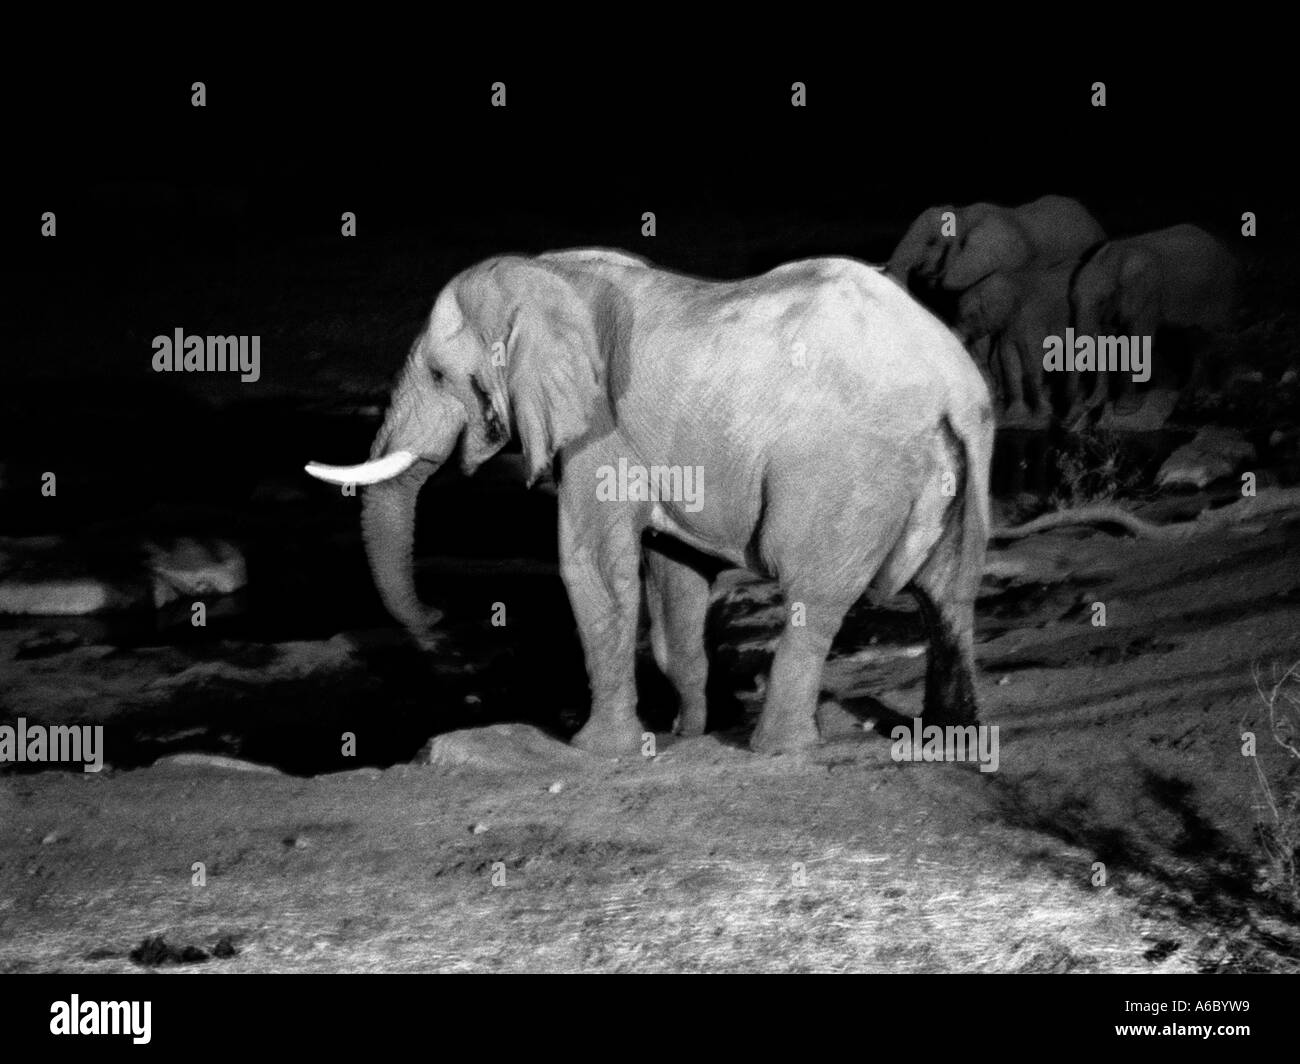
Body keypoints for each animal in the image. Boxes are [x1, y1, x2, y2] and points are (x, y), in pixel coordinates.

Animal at [306, 249, 994, 756]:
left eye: (440, 377)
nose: (438, 616)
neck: (552, 276)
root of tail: (949, 383)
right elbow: (674, 577)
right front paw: (685, 735)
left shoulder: (602, 430)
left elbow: (591, 568)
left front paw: (596, 751)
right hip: (963, 461)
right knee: (949, 593)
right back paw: (950, 738)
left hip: (843, 474)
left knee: (814, 594)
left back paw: (777, 749)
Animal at [1069, 224, 1240, 417]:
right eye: (1072, 300)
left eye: (1101, 301)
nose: (1078, 405)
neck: (1117, 258)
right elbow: (1107, 340)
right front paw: (1095, 402)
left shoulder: (1149, 293)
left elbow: (1139, 340)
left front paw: (1124, 410)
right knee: (1193, 337)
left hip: (1221, 293)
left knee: (1211, 337)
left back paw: (1201, 394)